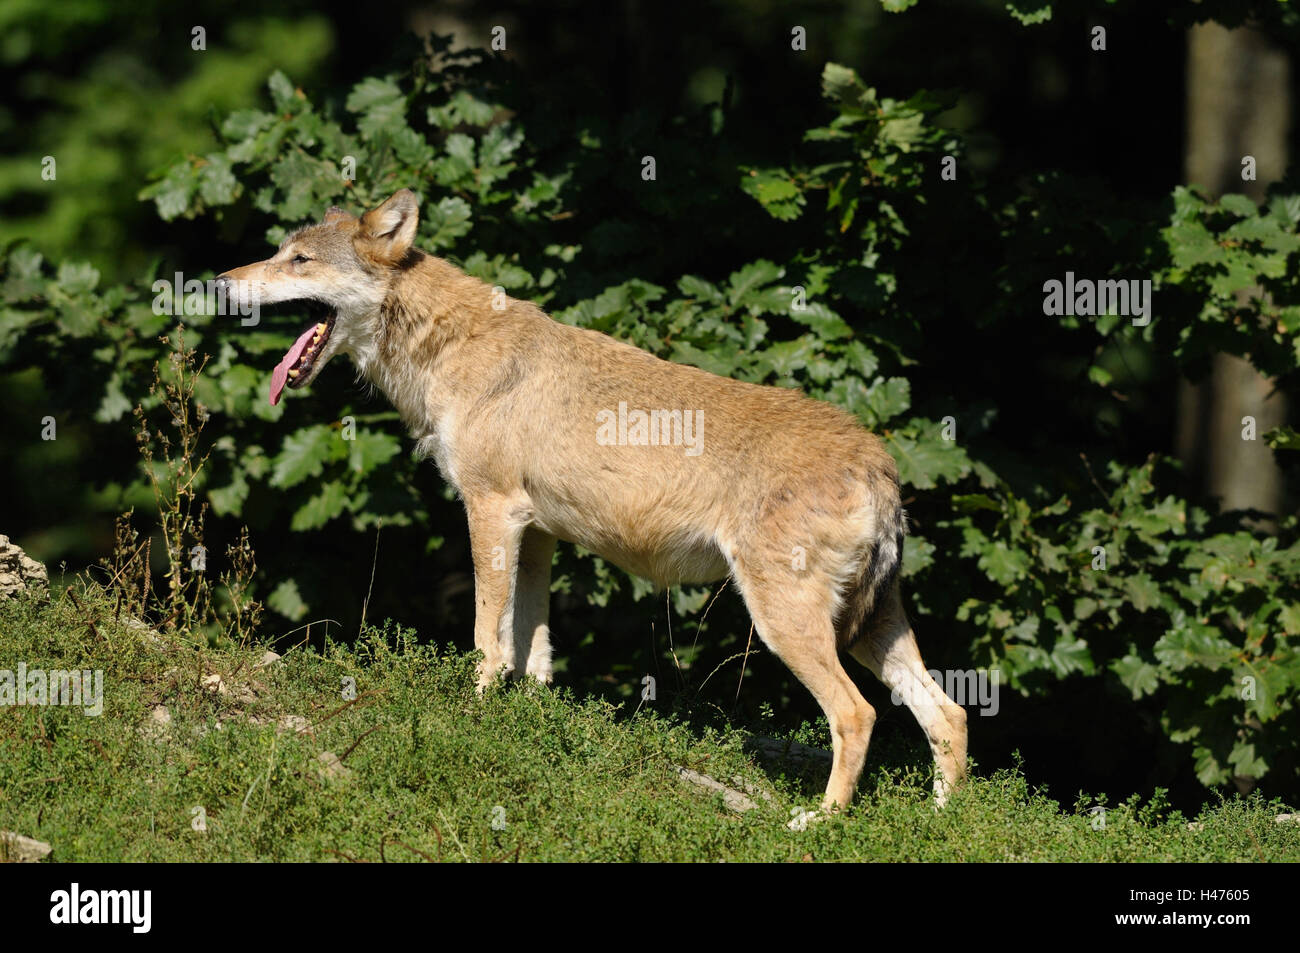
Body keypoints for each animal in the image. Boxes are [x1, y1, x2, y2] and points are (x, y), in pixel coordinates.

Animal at [216, 189, 968, 812]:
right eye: (279, 251)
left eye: (299, 259)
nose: (217, 283)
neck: (447, 343)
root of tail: (880, 465)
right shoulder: (538, 533)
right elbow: (535, 650)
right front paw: (528, 721)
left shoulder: (489, 509)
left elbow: (487, 637)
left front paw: (473, 708)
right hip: (870, 629)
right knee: (949, 714)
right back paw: (941, 820)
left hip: (787, 625)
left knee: (857, 715)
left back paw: (818, 822)